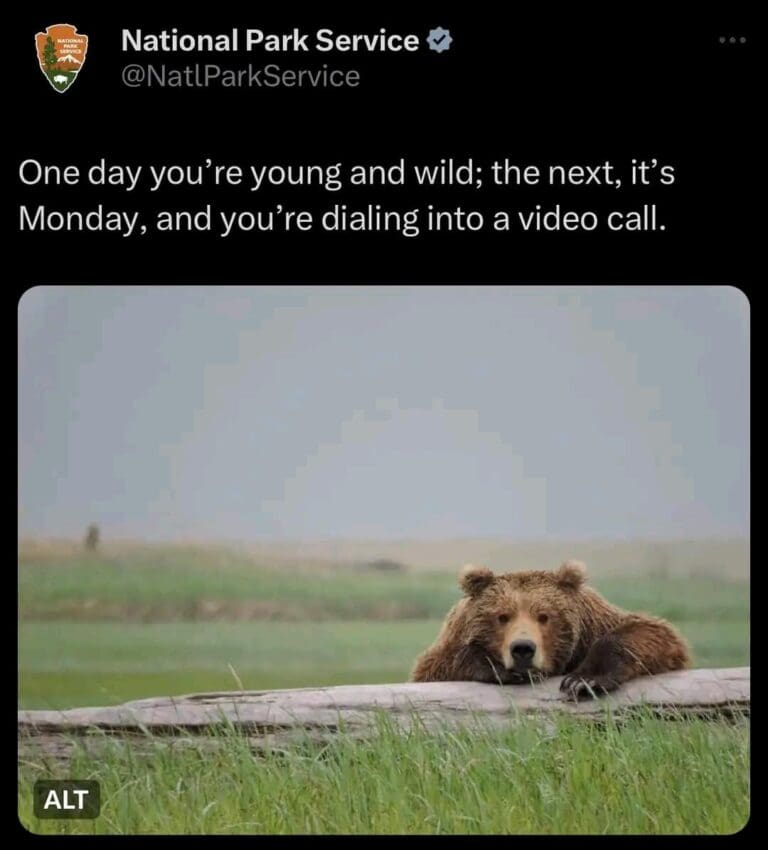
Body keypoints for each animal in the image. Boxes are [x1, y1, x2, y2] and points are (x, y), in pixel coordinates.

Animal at [410, 560, 690, 699]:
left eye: (544, 616)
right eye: (502, 616)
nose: (523, 649)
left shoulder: (594, 626)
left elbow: (652, 633)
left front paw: (584, 680)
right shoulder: (451, 641)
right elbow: (437, 665)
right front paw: (499, 668)